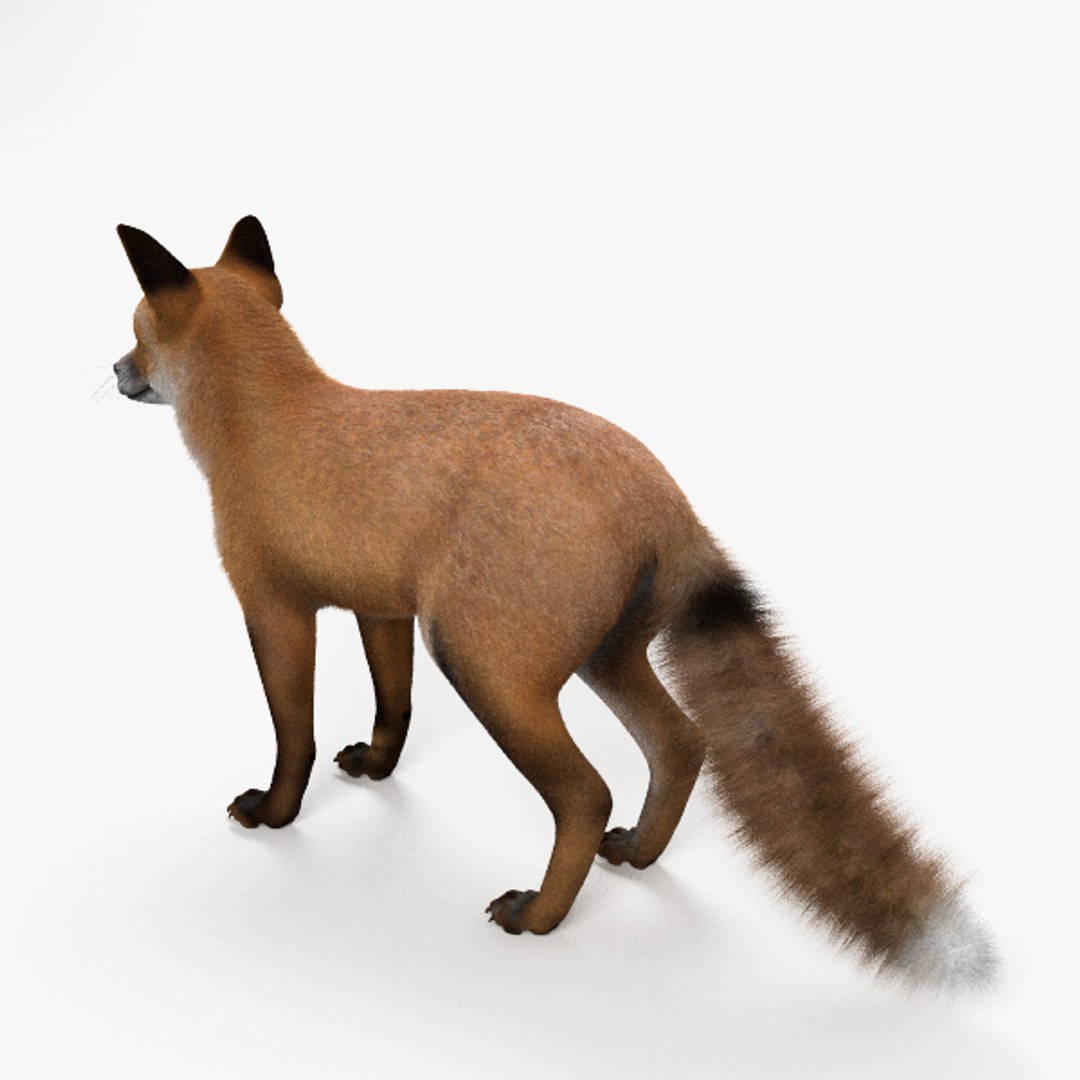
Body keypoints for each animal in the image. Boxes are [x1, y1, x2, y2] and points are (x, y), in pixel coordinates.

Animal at [114, 216, 996, 989]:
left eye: (136, 330)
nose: (117, 372)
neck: (270, 422)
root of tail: (663, 496)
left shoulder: (275, 609)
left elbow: (292, 734)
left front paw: (276, 814)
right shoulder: (383, 609)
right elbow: (393, 705)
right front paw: (376, 769)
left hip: (484, 665)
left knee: (587, 792)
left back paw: (539, 916)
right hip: (604, 657)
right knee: (682, 744)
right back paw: (639, 853)